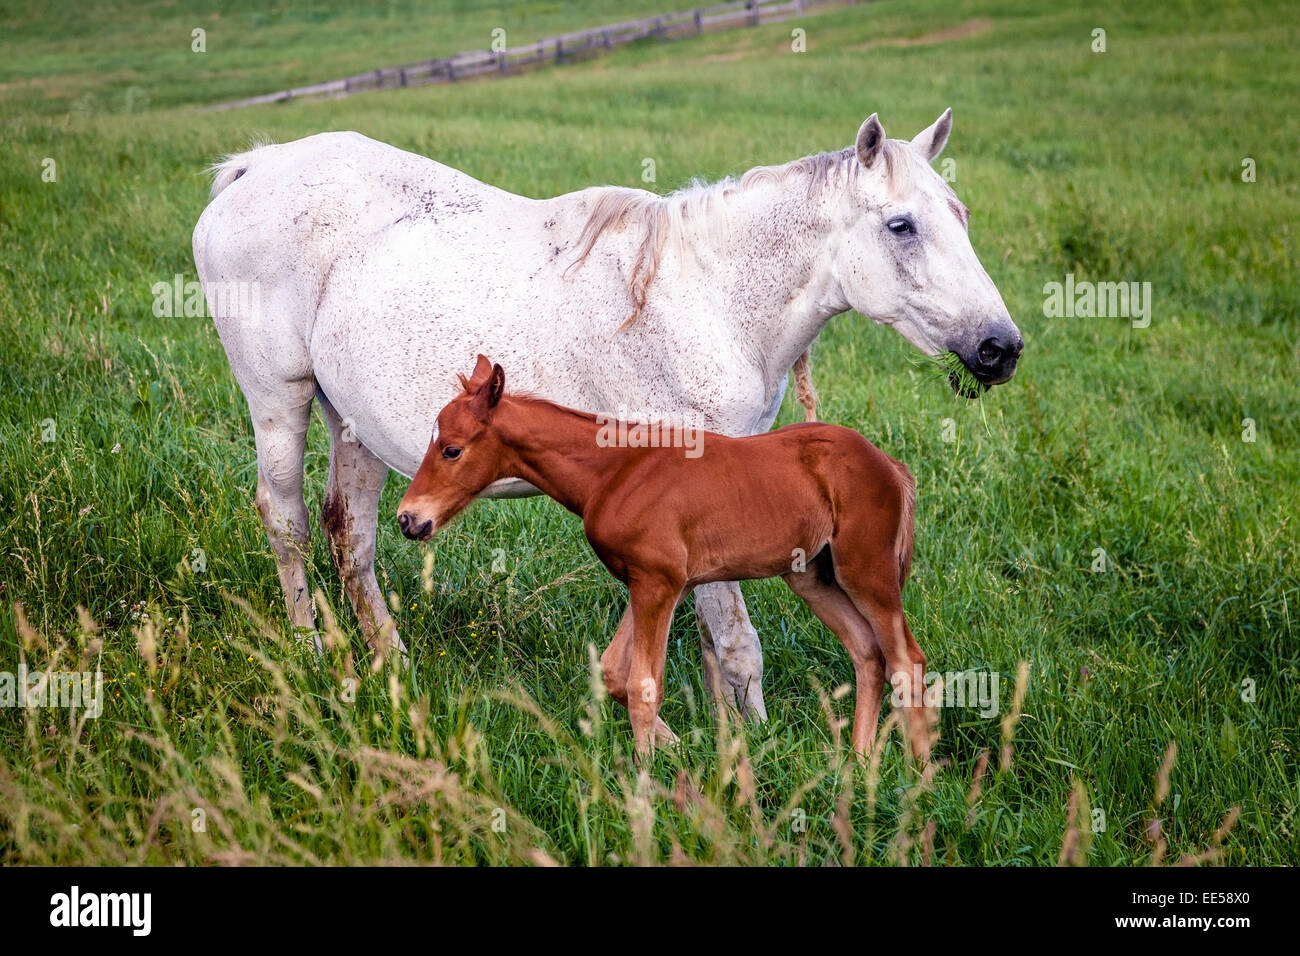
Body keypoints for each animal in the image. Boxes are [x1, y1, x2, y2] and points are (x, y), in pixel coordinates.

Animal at [192, 109, 1021, 719]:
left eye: (960, 215)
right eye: (901, 226)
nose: (1000, 347)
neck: (712, 299)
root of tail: (255, 167)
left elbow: (714, 632)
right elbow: (736, 641)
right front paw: (751, 754)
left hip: (353, 424)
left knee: (351, 536)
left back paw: (390, 661)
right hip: (280, 400)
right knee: (288, 521)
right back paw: (308, 652)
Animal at [398, 356, 932, 760]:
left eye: (451, 450)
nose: (408, 519)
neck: (613, 471)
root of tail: (890, 465)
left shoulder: (660, 584)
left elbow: (642, 687)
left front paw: (648, 782)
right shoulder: (644, 583)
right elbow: (614, 676)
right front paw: (675, 745)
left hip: (866, 570)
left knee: (907, 659)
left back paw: (917, 778)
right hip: (813, 578)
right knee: (868, 652)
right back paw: (858, 761)